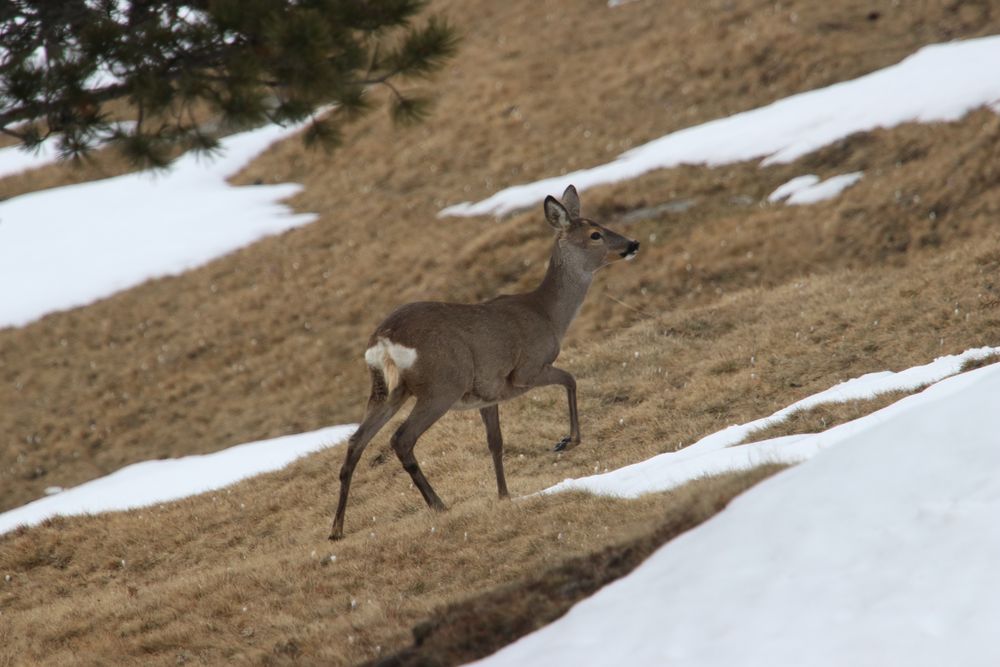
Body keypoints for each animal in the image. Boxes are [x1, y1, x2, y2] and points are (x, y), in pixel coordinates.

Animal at [329, 185, 639, 540]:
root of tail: (383, 339)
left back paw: (336, 529)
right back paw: (438, 504)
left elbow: (495, 442)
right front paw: (567, 441)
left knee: (356, 441)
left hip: (388, 389)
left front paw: (504, 495)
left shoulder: (487, 395)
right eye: (595, 234)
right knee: (401, 439)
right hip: (441, 385)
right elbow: (571, 379)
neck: (547, 315)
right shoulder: (526, 369)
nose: (632, 244)